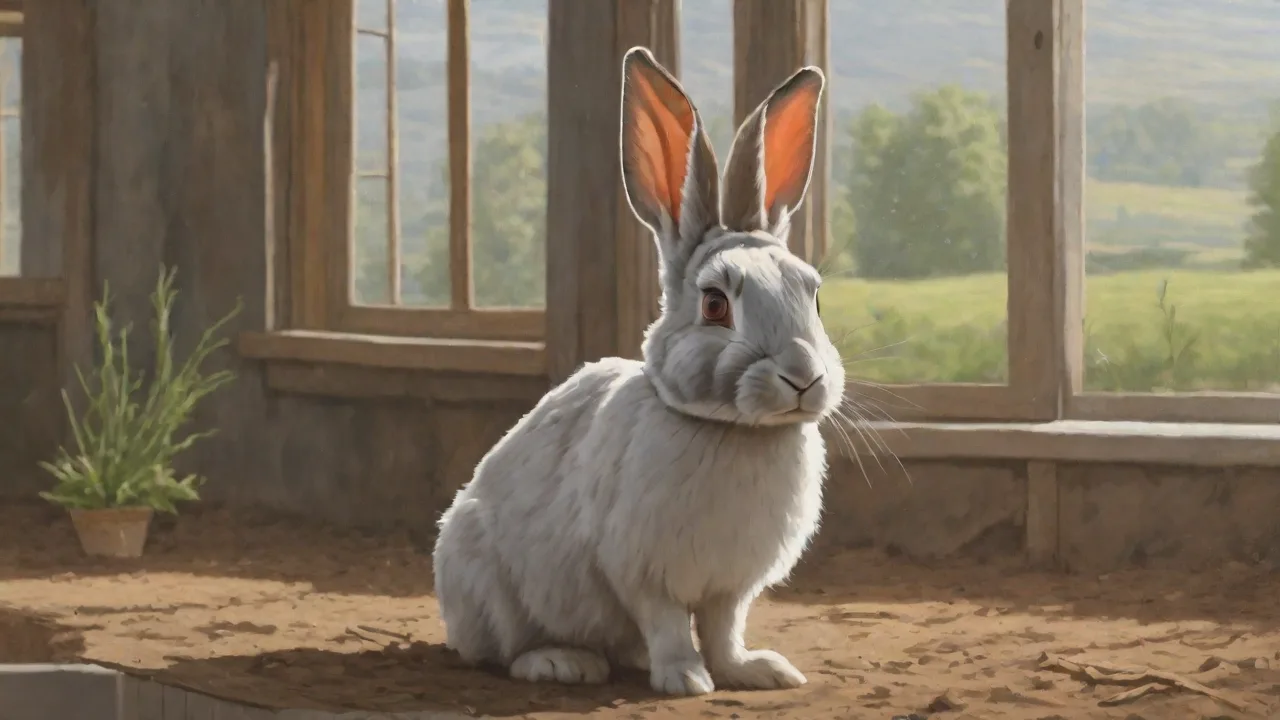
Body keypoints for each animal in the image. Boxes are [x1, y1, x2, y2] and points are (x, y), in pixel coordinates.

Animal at [432, 46, 843, 698]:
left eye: (814, 296)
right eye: (715, 304)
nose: (803, 376)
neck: (729, 430)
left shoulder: (730, 588)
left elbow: (725, 628)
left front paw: (754, 671)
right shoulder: (642, 571)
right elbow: (670, 623)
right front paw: (685, 678)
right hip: (489, 583)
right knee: (503, 651)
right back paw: (563, 662)